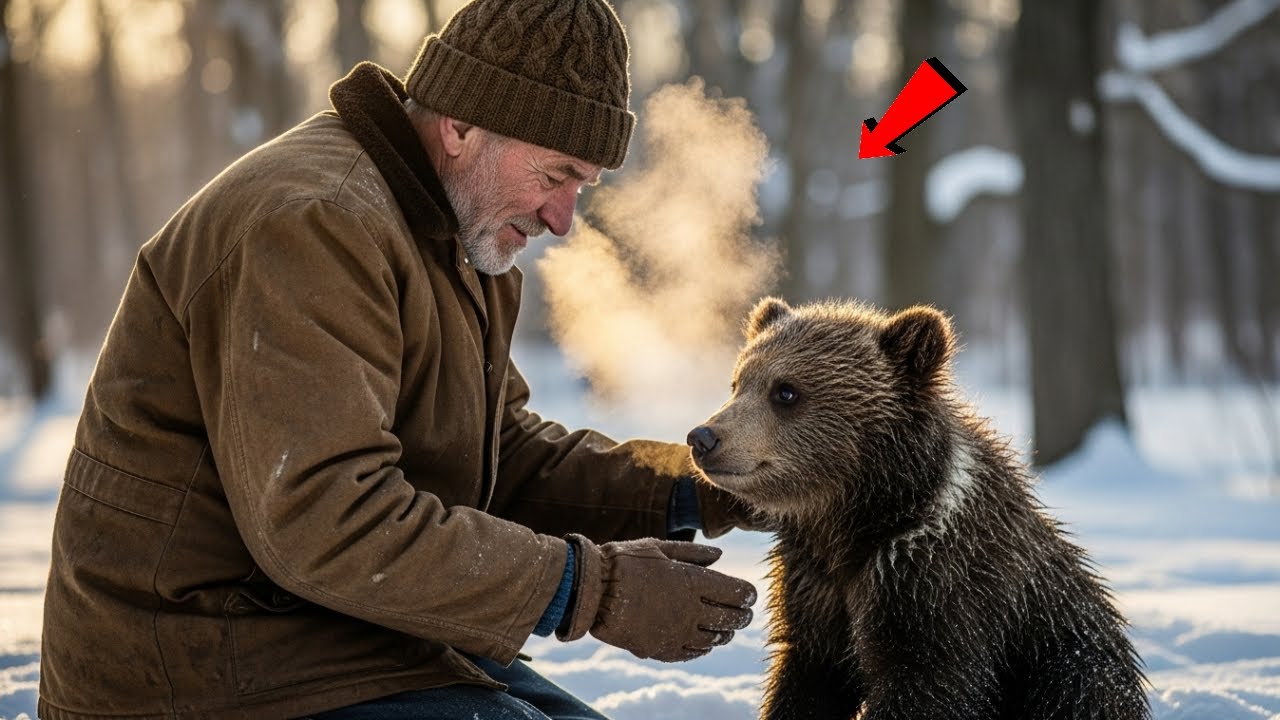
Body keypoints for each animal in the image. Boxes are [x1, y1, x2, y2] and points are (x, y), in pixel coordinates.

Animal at [686, 297, 1149, 720]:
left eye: (785, 391)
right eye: (737, 382)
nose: (703, 437)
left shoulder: (937, 586)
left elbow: (927, 682)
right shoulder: (815, 585)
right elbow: (806, 681)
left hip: (1067, 667)